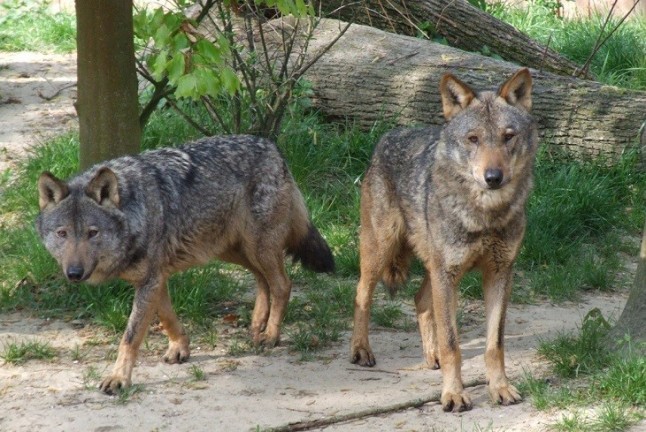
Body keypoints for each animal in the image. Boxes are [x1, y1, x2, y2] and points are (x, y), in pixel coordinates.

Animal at [36, 135, 334, 394]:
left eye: (92, 233)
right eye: (62, 233)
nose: (74, 273)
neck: (136, 212)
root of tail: (272, 146)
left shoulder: (150, 281)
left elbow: (130, 336)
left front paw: (119, 378)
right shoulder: (155, 279)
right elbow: (167, 317)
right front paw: (180, 348)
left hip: (256, 247)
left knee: (282, 284)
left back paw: (271, 334)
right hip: (229, 250)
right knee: (262, 279)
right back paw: (256, 323)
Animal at [350, 69, 538, 412]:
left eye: (508, 136)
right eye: (473, 139)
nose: (493, 177)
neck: (485, 216)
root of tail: (388, 136)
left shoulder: (500, 273)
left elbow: (494, 345)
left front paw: (500, 388)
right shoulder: (447, 273)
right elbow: (453, 344)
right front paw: (453, 394)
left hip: (436, 270)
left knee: (420, 301)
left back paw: (431, 356)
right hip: (383, 253)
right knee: (361, 294)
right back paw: (361, 351)